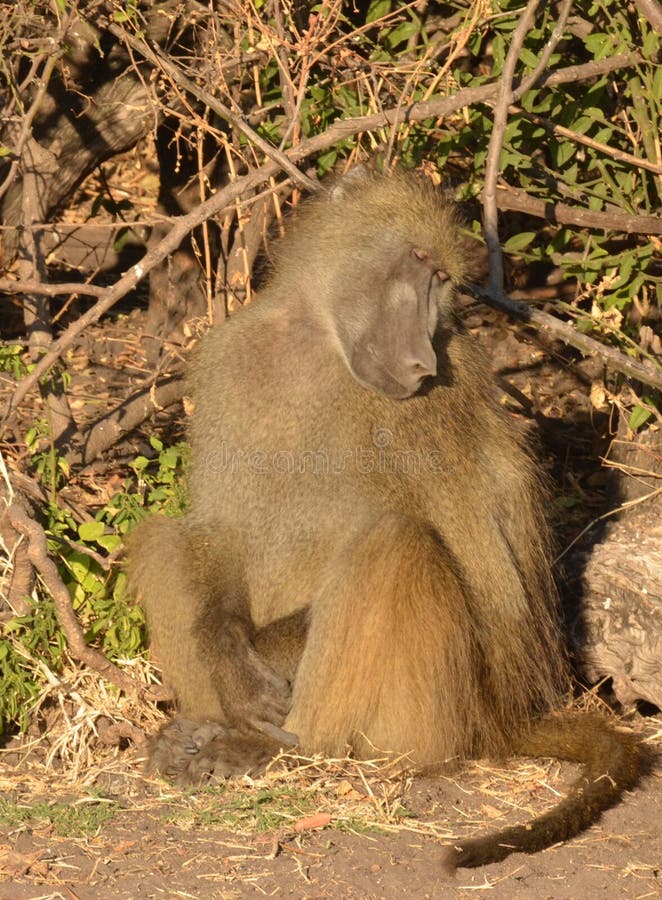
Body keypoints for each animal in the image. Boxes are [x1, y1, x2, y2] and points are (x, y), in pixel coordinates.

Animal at [127, 171, 643, 870]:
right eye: (420, 263)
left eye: (443, 280)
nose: (422, 360)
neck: (315, 344)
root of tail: (499, 724)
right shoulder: (229, 357)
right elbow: (219, 535)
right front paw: (227, 654)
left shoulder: (435, 411)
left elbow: (488, 592)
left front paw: (259, 678)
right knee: (166, 541)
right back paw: (209, 725)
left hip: (431, 718)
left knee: (392, 545)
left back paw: (275, 747)